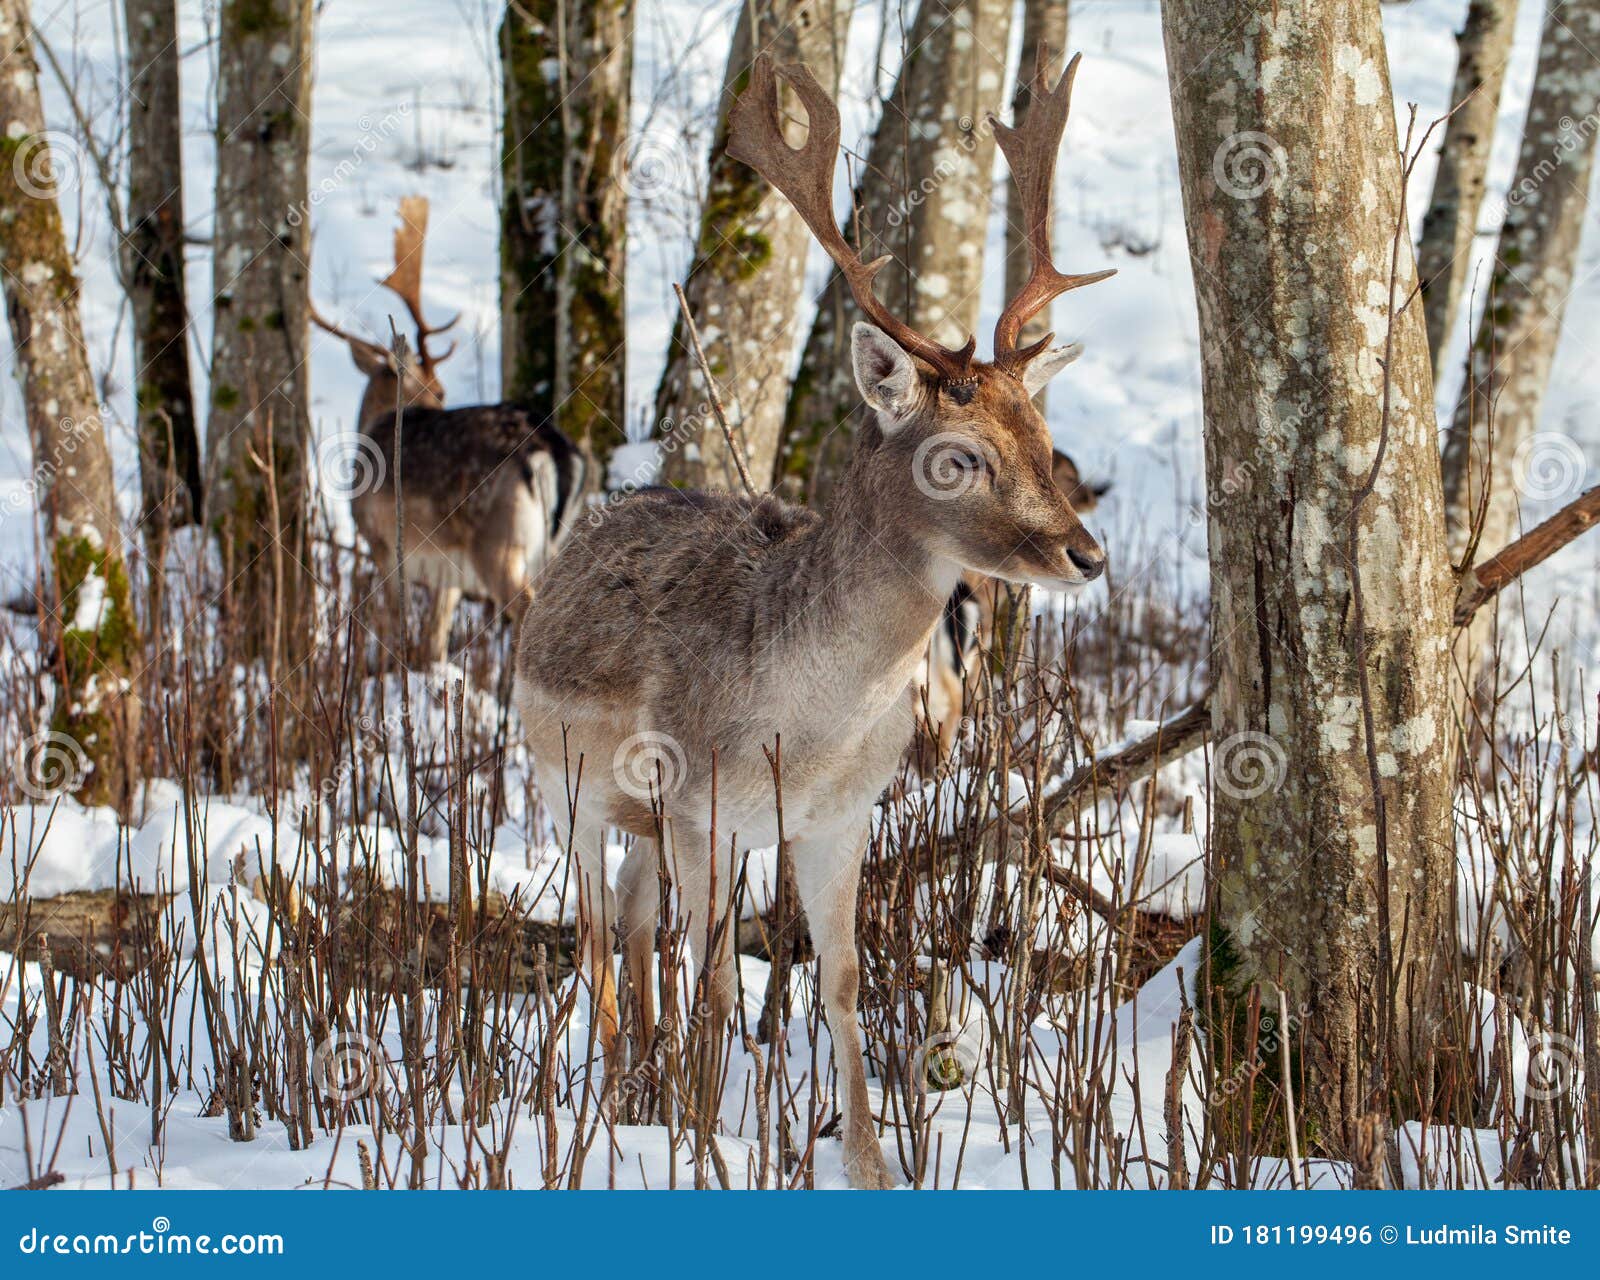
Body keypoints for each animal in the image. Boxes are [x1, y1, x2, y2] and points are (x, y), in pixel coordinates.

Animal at [313, 197, 586, 665]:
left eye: (441, 391)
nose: (439, 394)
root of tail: (551, 449)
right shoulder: (448, 571)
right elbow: (436, 638)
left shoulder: (383, 544)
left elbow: (398, 622)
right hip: (557, 542)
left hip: (498, 540)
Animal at [514, 50, 1111, 1188]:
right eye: (958, 457)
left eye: (1039, 429)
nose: (1086, 553)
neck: (811, 722)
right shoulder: (699, 799)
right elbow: (712, 976)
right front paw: (704, 1143)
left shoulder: (841, 815)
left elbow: (837, 979)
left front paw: (870, 1163)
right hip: (562, 777)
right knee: (596, 929)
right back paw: (614, 1101)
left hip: (646, 821)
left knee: (632, 912)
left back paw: (639, 1082)